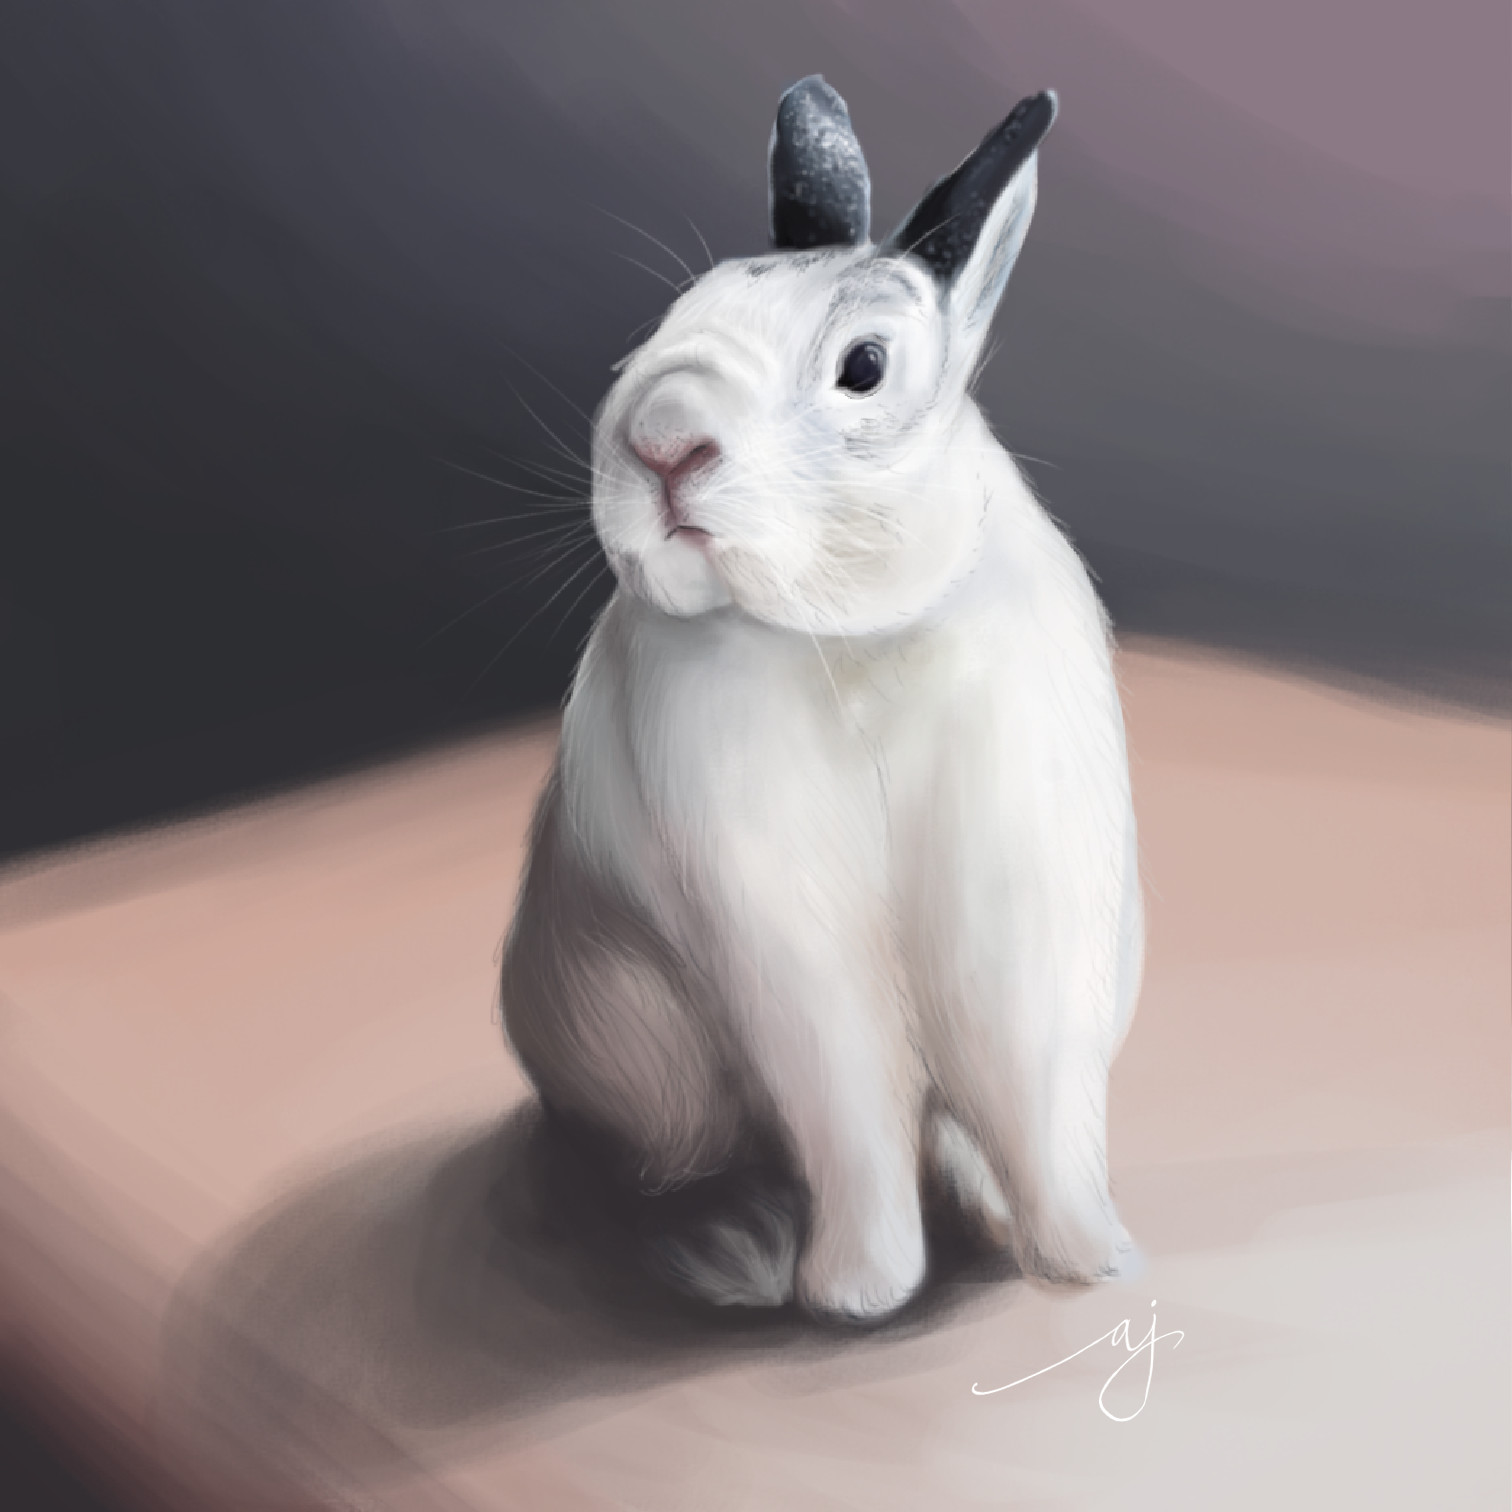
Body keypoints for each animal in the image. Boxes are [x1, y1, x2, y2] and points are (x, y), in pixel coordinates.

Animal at [500, 77, 1144, 1322]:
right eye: (673, 318)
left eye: (864, 366)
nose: (663, 441)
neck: (850, 635)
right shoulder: (783, 937)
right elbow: (845, 1104)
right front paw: (860, 1291)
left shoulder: (1023, 906)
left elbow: (1037, 1091)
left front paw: (1088, 1258)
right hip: (640, 1049)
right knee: (653, 1168)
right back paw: (735, 1250)